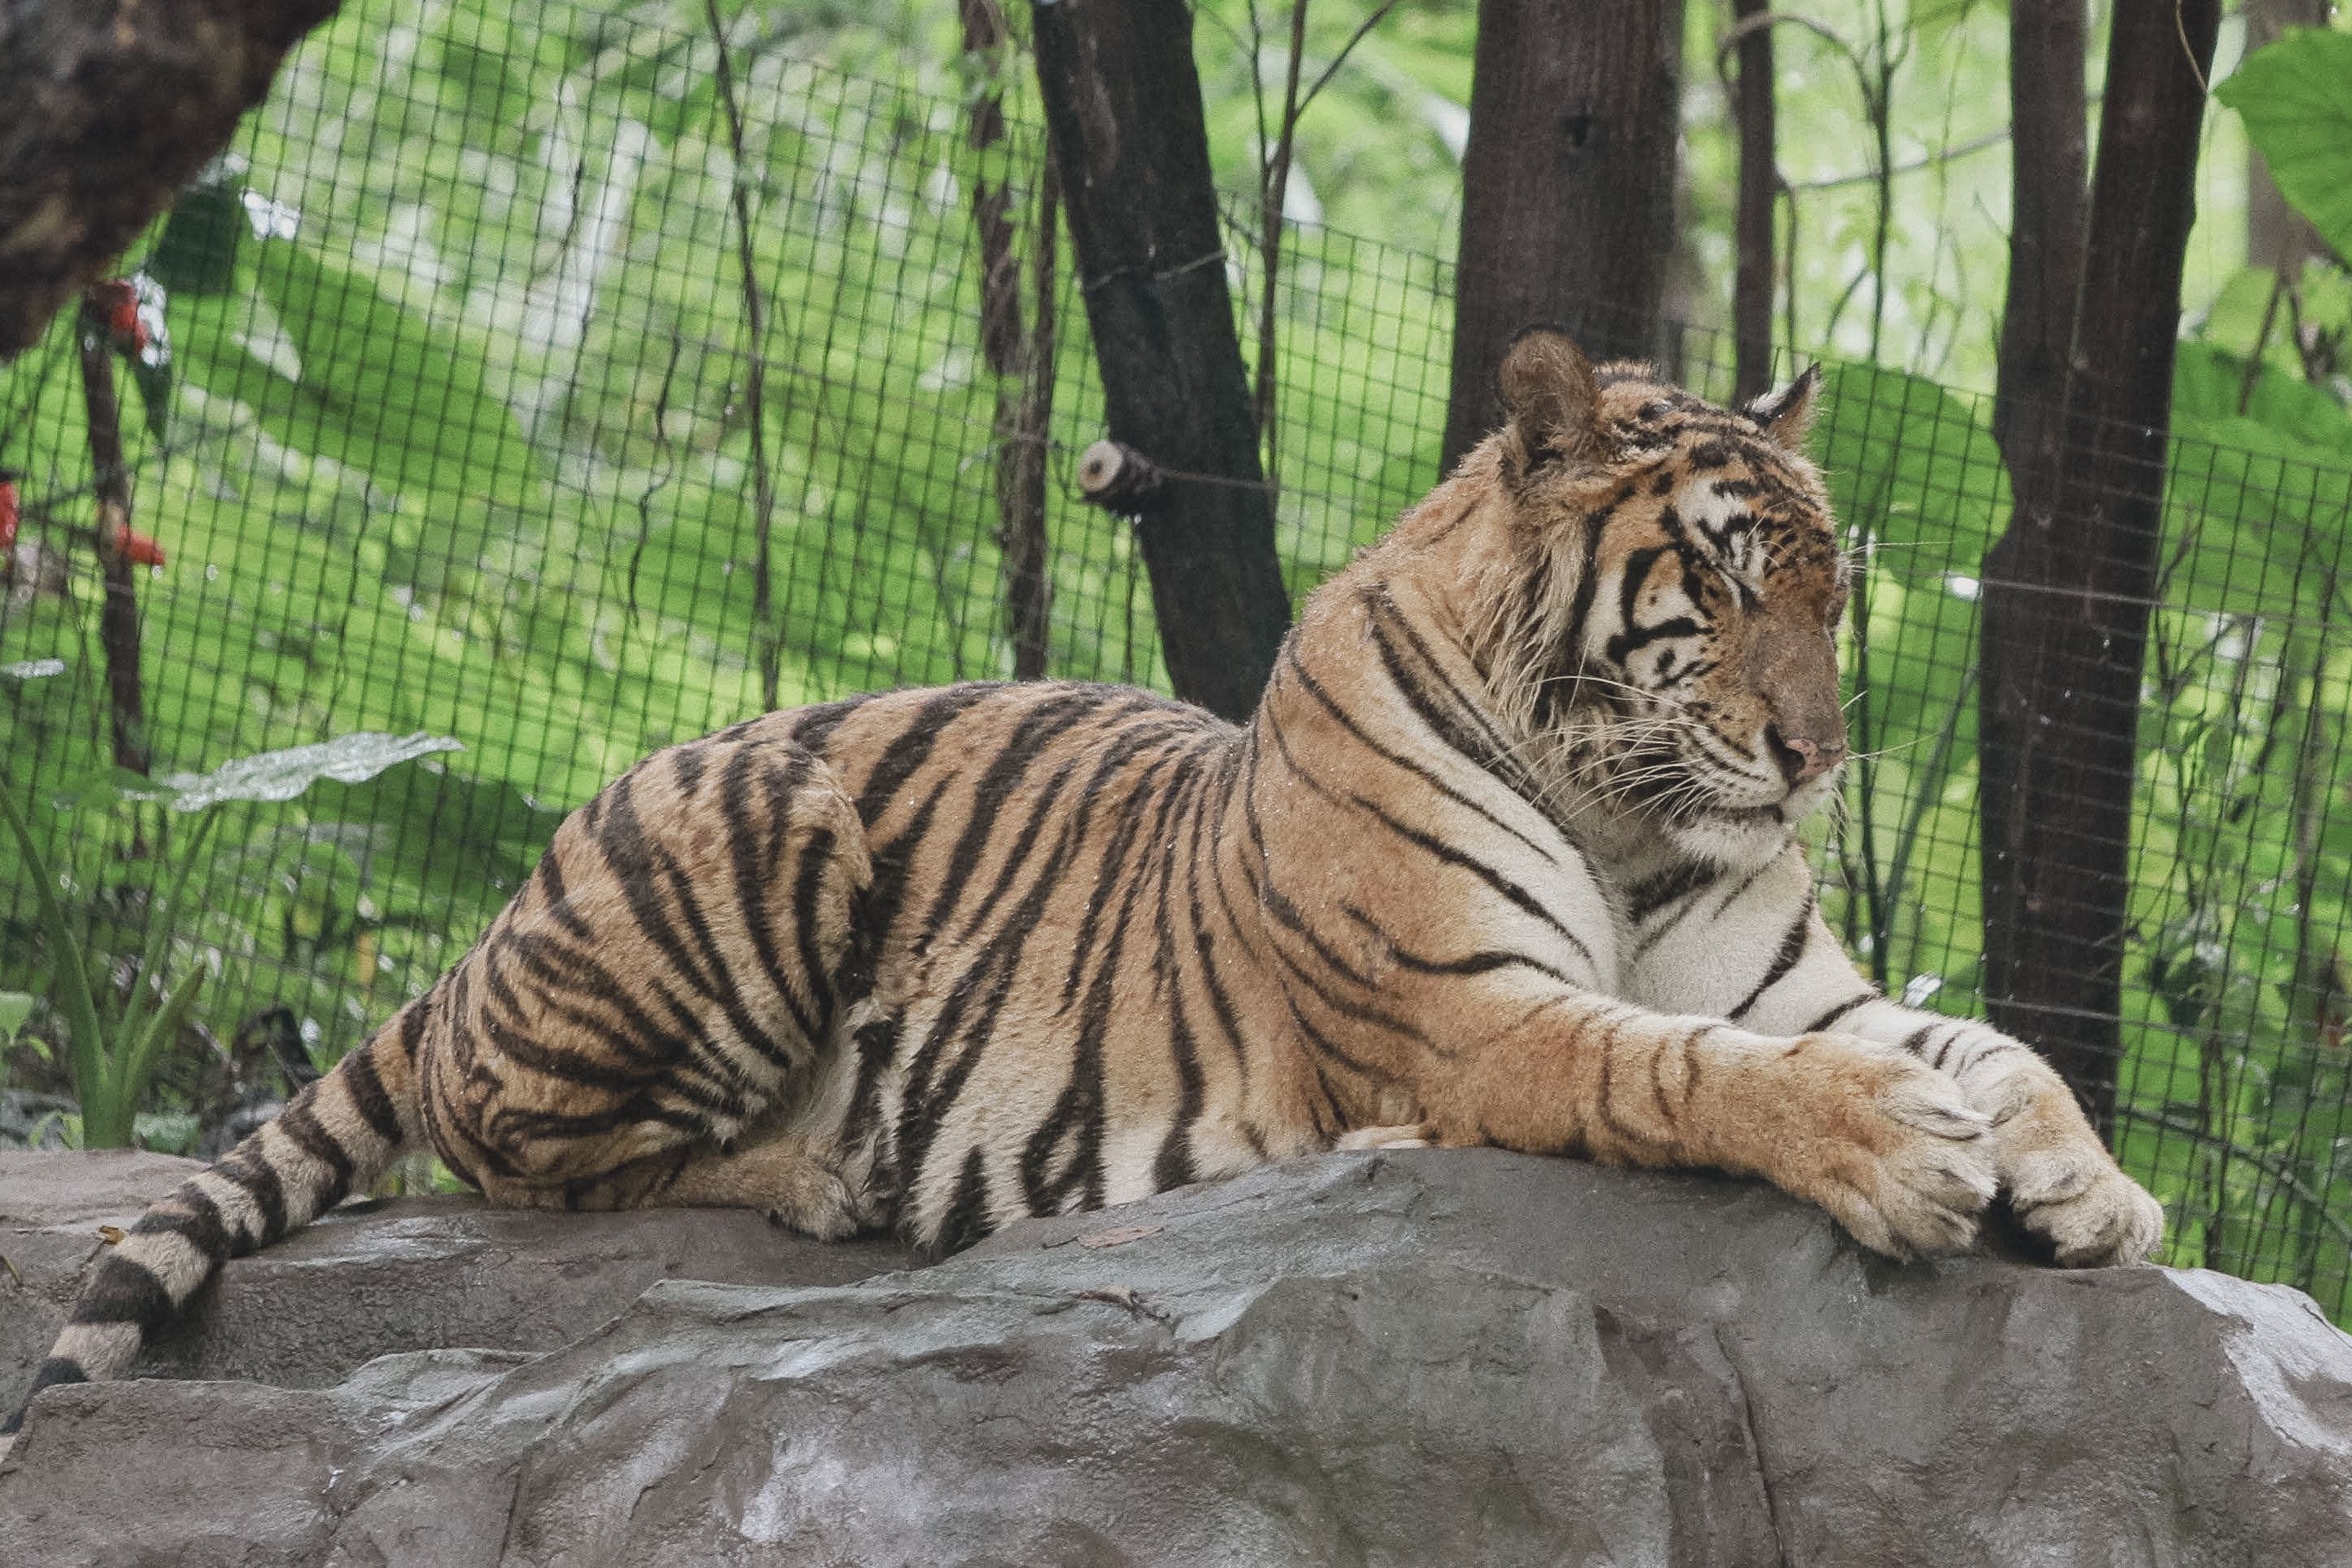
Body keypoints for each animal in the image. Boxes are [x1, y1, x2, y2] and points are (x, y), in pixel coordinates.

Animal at [4, 329, 2164, 1451]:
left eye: (1827, 593)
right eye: (1713, 585)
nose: (1810, 759)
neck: (1635, 813)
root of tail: (490, 920)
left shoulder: (1794, 979)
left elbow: (2000, 1045)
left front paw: (2090, 1190)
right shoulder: (1466, 1011)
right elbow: (1671, 1071)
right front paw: (1895, 1155)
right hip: (757, 834)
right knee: (505, 1143)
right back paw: (819, 1170)